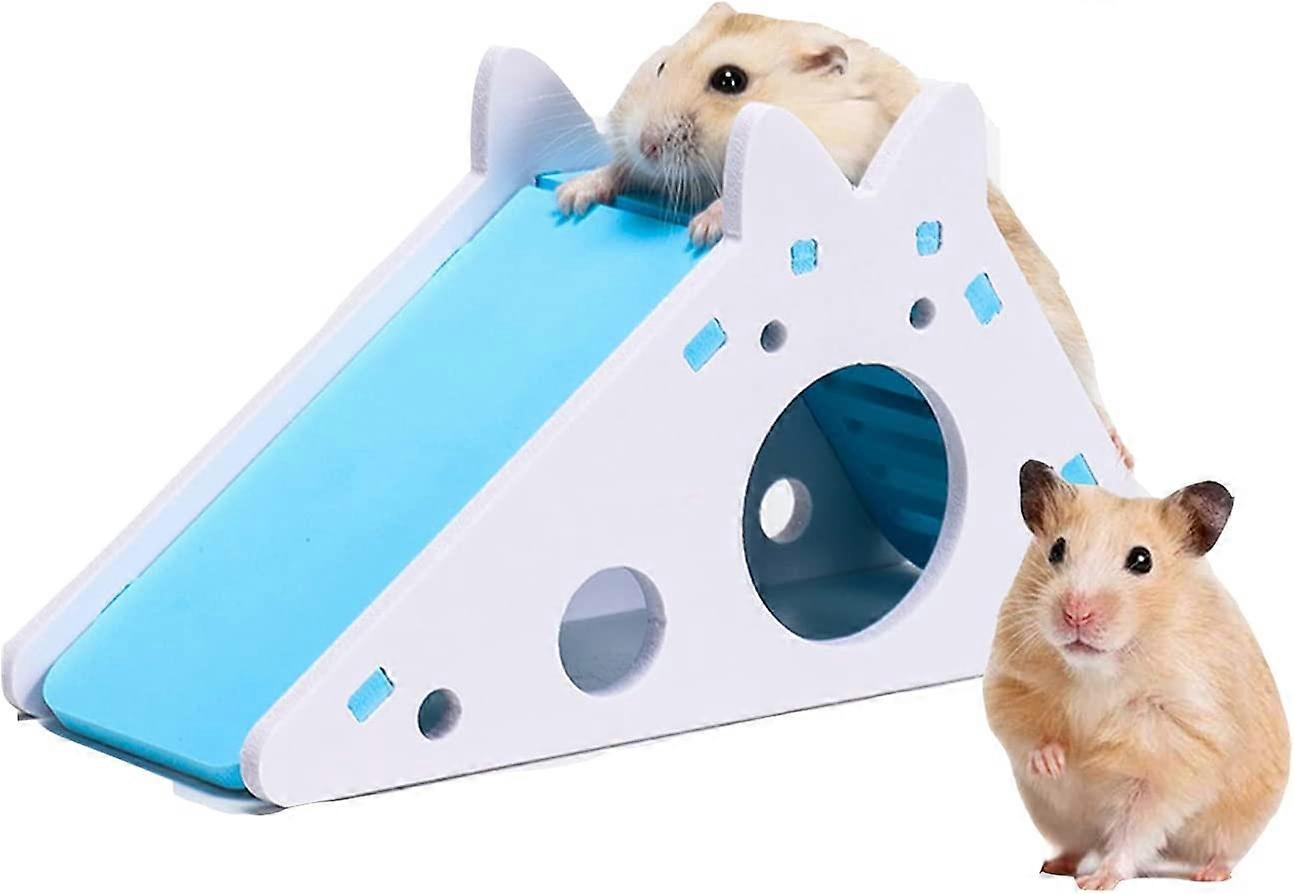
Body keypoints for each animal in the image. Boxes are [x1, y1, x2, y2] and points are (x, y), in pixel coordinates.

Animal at [555, 3, 1133, 468]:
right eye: (660, 65)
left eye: (730, 80)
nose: (648, 143)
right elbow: (618, 173)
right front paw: (571, 198)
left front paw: (704, 226)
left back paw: (1118, 445)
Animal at [984, 461, 1289, 889]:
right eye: (1057, 549)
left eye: (1142, 560)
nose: (1075, 613)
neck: (1098, 670)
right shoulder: (1009, 680)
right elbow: (1022, 728)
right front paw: (1056, 763)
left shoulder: (1176, 750)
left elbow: (1137, 827)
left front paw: (1098, 882)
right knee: (1075, 844)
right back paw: (1054, 866)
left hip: (1239, 825)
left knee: (1219, 852)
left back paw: (1209, 874)